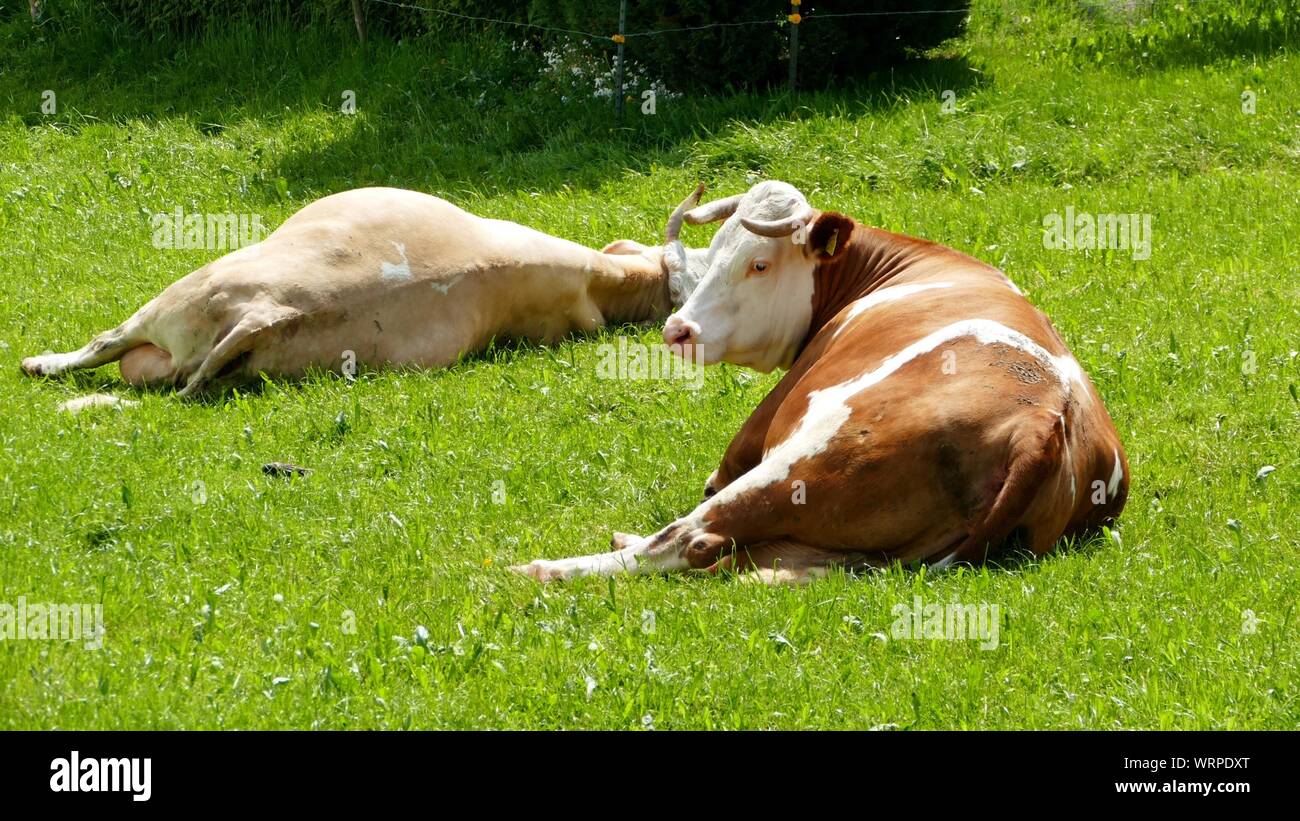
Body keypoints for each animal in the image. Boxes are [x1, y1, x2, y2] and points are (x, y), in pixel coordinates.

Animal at [512, 180, 1129, 584]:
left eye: (759, 264)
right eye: (715, 252)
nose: (678, 329)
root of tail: (1044, 418)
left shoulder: (773, 408)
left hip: (804, 461)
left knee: (690, 537)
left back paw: (546, 570)